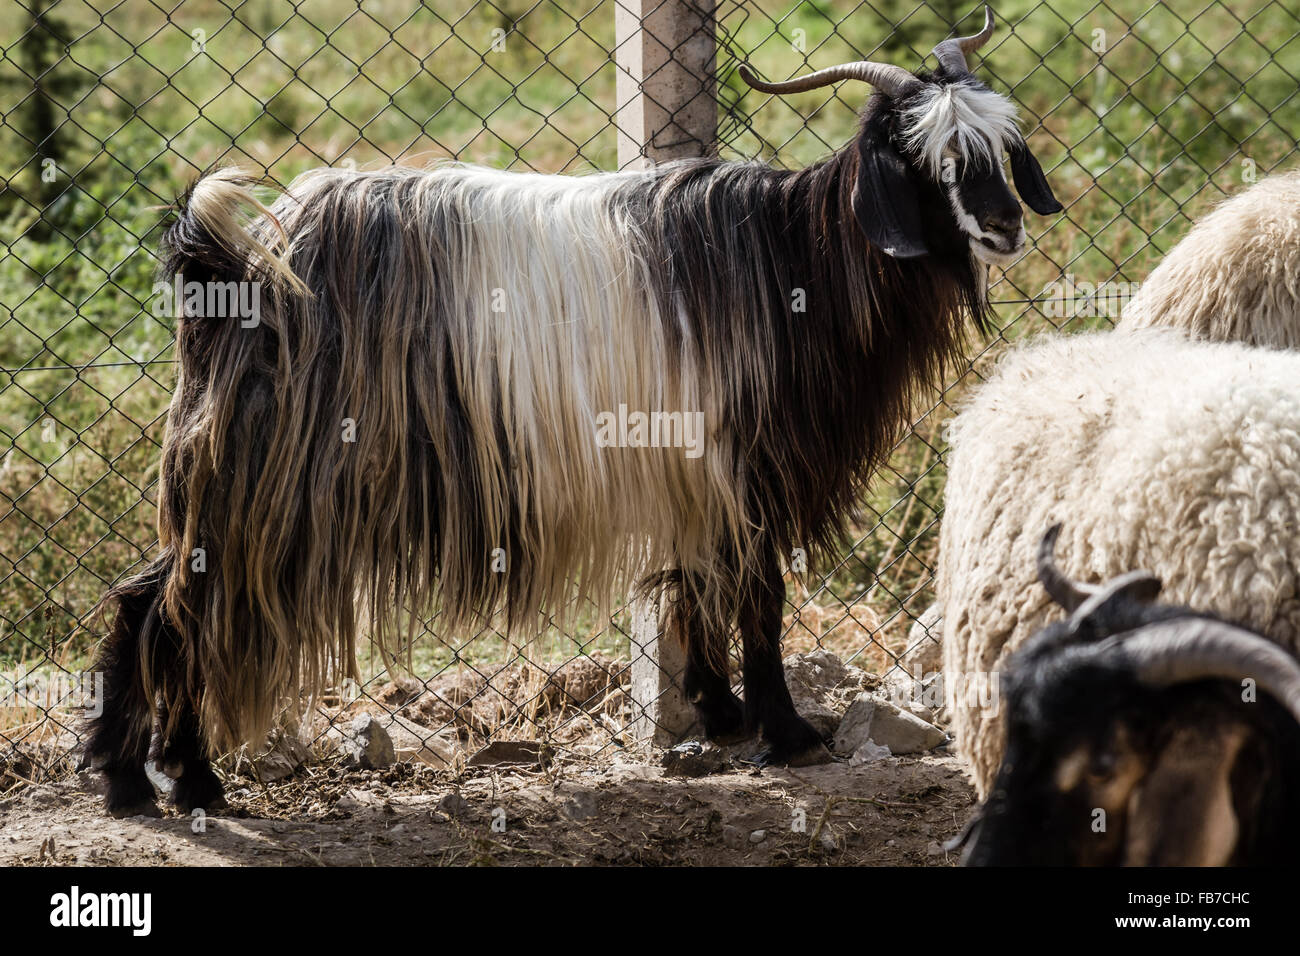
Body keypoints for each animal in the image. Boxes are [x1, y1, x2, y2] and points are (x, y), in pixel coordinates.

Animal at [85, 5, 1061, 815]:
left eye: (999, 143)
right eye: (926, 156)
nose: (1006, 226)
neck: (796, 256)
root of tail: (233, 263)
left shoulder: (691, 467)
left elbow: (693, 581)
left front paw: (719, 711)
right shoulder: (742, 462)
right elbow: (758, 592)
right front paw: (786, 731)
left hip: (233, 470)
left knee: (150, 596)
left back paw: (137, 781)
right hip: (268, 476)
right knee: (180, 608)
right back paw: (187, 781)